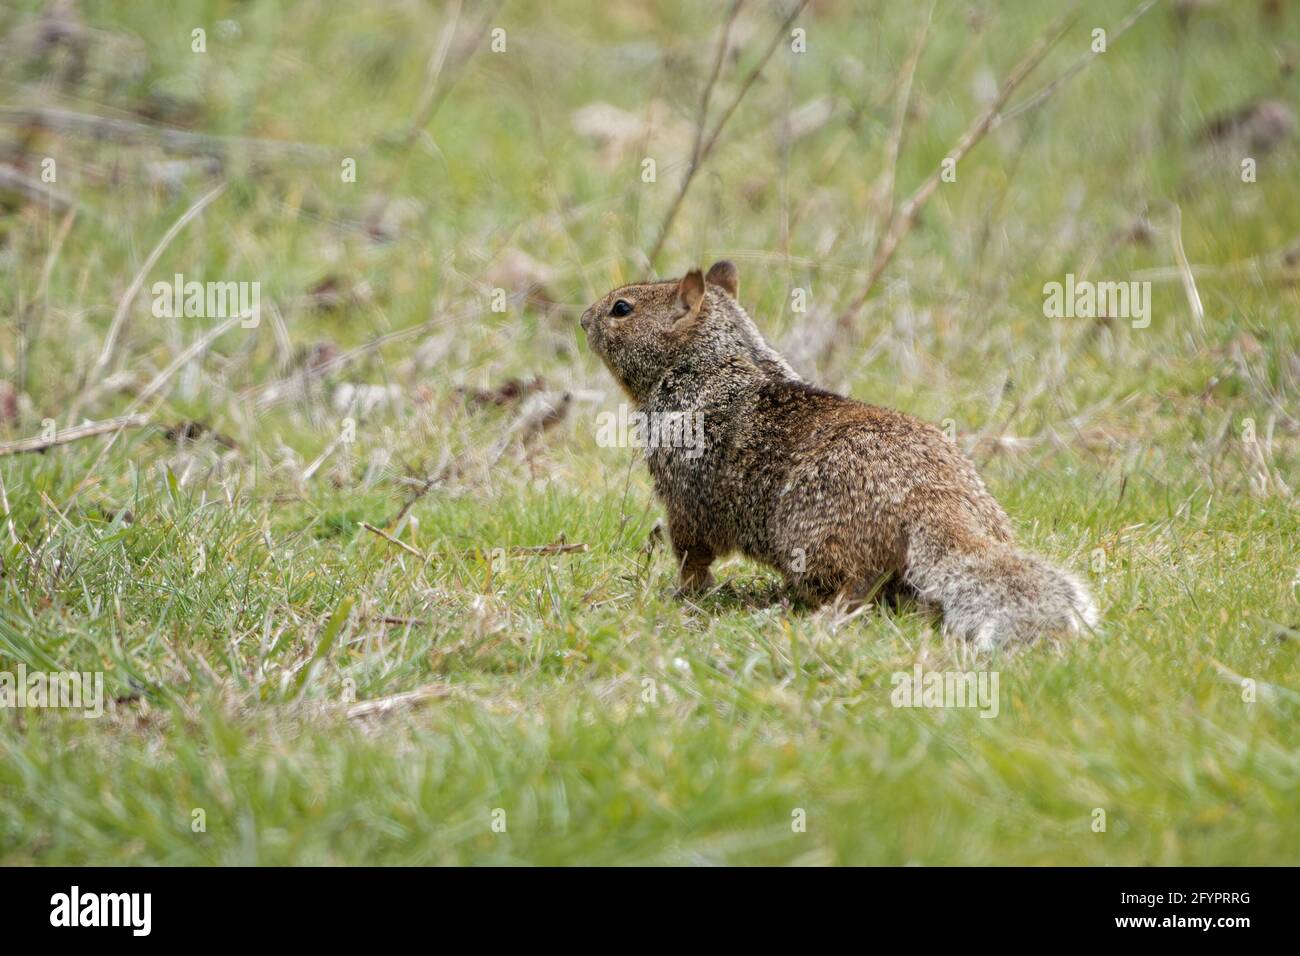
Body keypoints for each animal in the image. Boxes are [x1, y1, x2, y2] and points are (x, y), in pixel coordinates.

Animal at [580, 261, 1098, 649]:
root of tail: (935, 500)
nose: (583, 319)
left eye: (622, 308)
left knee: (856, 588)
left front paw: (682, 594)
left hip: (813, 535)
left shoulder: (685, 490)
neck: (707, 367)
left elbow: (692, 552)